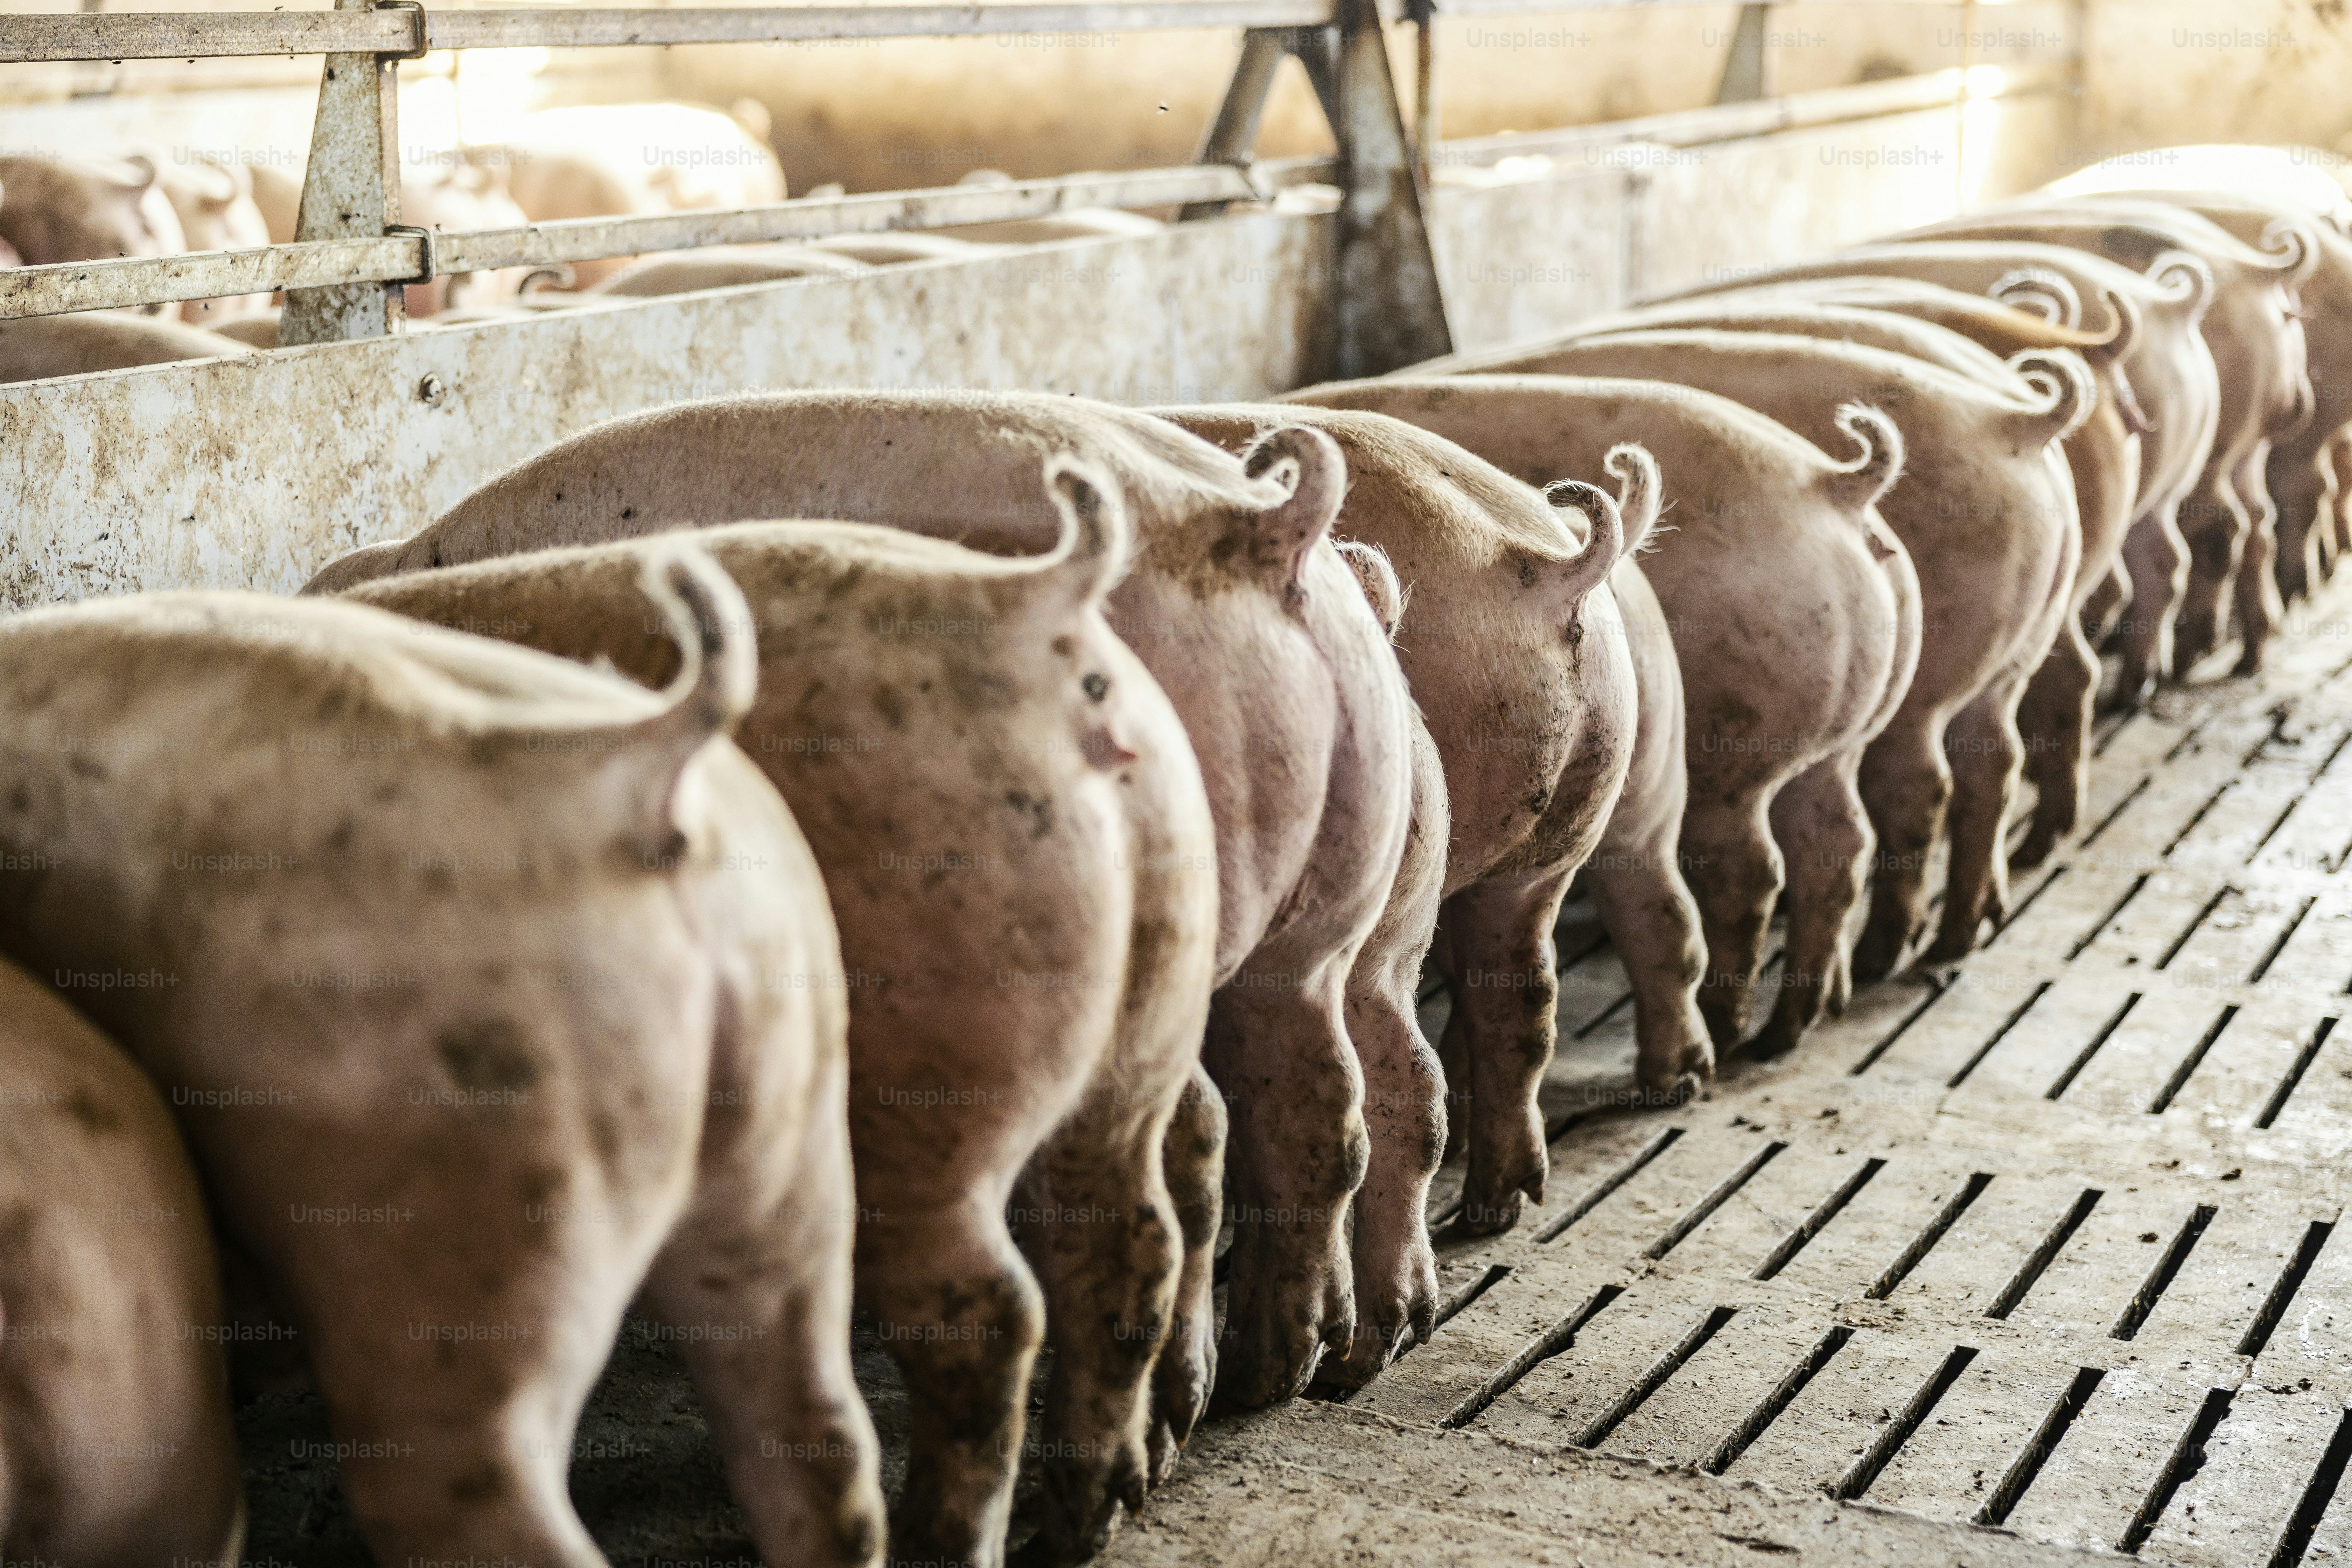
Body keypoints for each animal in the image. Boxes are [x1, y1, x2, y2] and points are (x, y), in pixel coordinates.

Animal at [330, 467, 1220, 1565]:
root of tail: (1035, 606)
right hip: (1147, 1009)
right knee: (1135, 1234)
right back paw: (1096, 1512)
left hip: (925, 1104)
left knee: (989, 1314)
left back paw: (952, 1538)